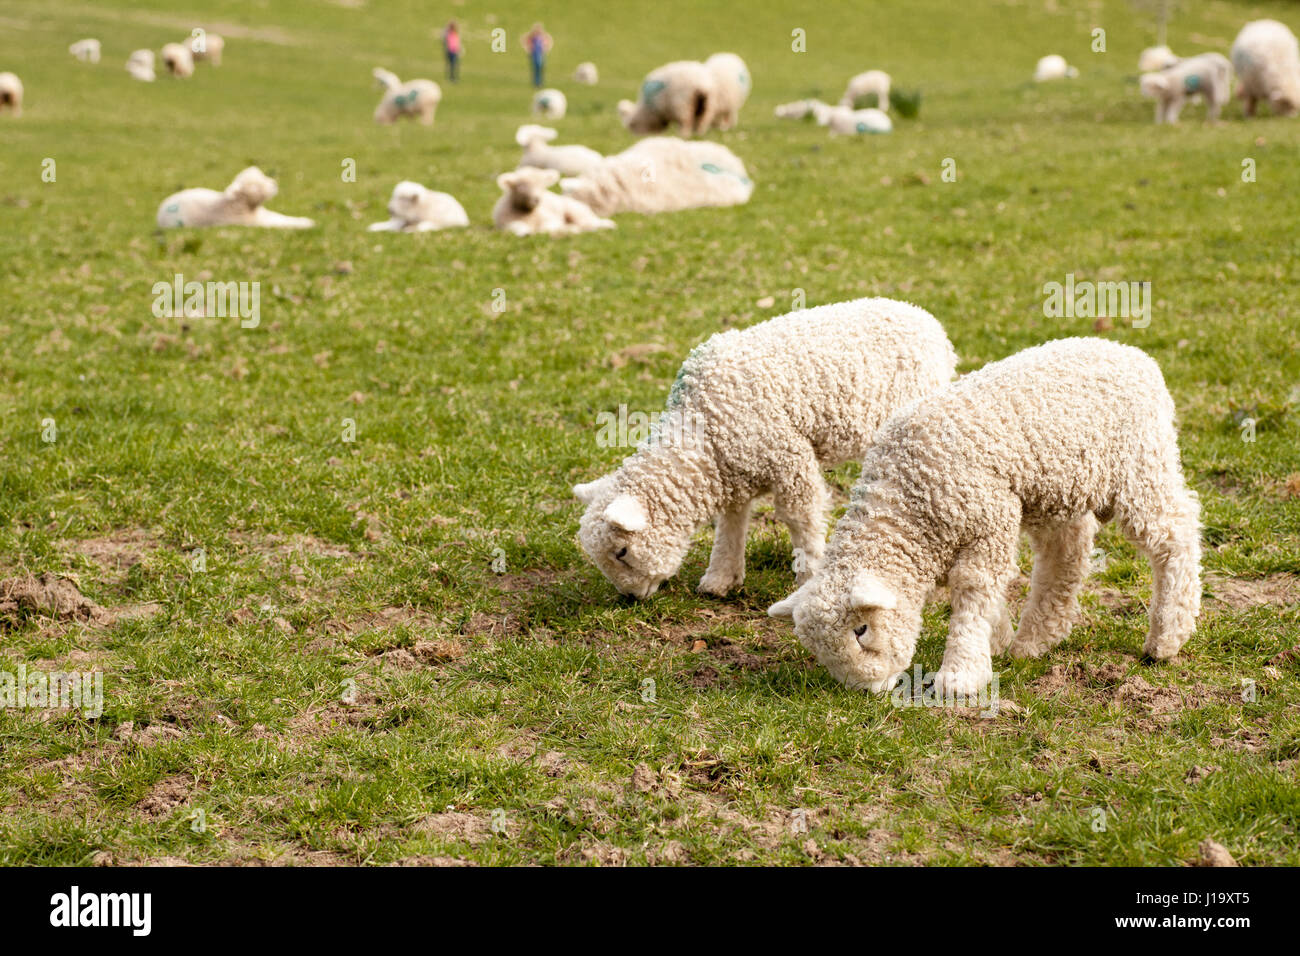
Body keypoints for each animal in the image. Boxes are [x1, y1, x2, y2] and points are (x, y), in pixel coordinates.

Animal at [156, 166, 315, 229]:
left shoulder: (265, 215)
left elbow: (284, 217)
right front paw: (306, 224)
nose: (274, 184)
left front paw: (305, 221)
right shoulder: (254, 223)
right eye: (254, 187)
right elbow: (281, 224)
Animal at [573, 297, 958, 600]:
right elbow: (731, 522)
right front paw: (720, 578)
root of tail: (927, 320)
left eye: (621, 551)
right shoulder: (733, 469)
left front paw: (808, 576)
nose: (630, 597)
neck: (702, 430)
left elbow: (800, 519)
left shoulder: (789, 458)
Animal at [769, 338, 1201, 697]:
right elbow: (984, 593)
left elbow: (973, 588)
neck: (908, 499)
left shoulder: (989, 518)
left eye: (861, 631)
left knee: (1175, 533)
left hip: (1139, 468)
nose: (869, 692)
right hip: (1056, 489)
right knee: (1066, 557)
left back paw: (1167, 637)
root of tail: (1134, 354)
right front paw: (996, 642)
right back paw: (1034, 641)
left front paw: (960, 674)